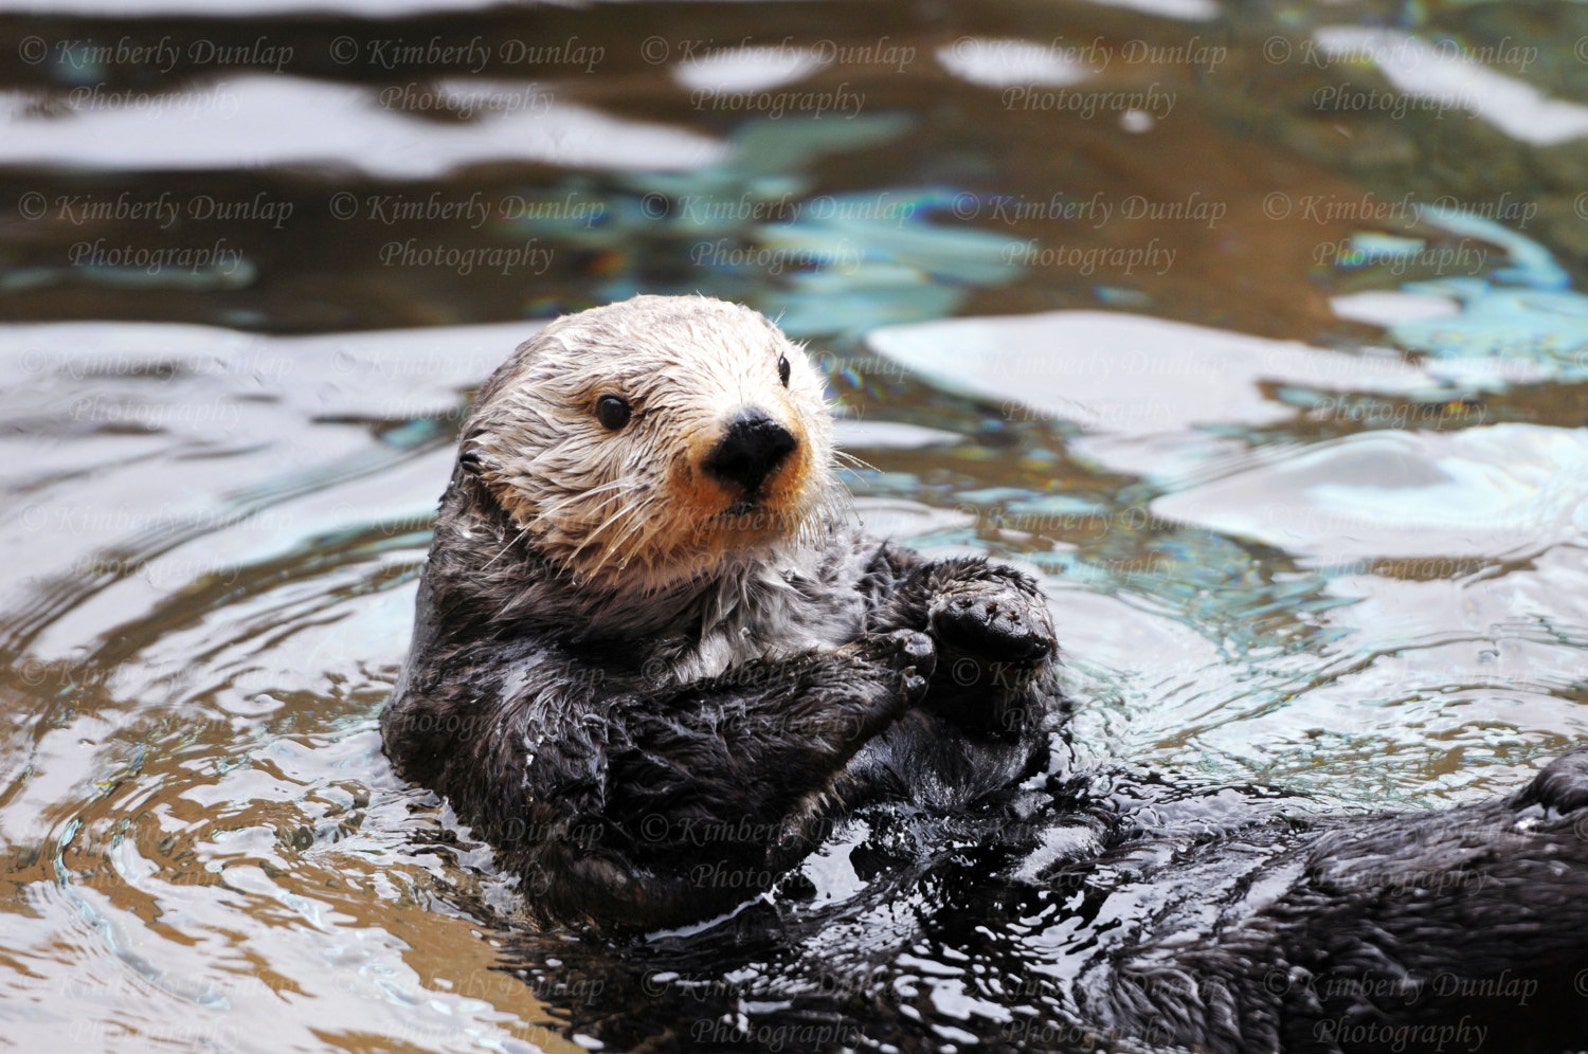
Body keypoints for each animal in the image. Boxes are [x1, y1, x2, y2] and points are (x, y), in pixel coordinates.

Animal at [383, 295, 1588, 1051]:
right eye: (613, 408)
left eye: (779, 368)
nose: (755, 435)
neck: (741, 623)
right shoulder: (491, 710)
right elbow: (636, 777)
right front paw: (876, 663)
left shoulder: (874, 586)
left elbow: (1016, 711)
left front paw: (983, 616)